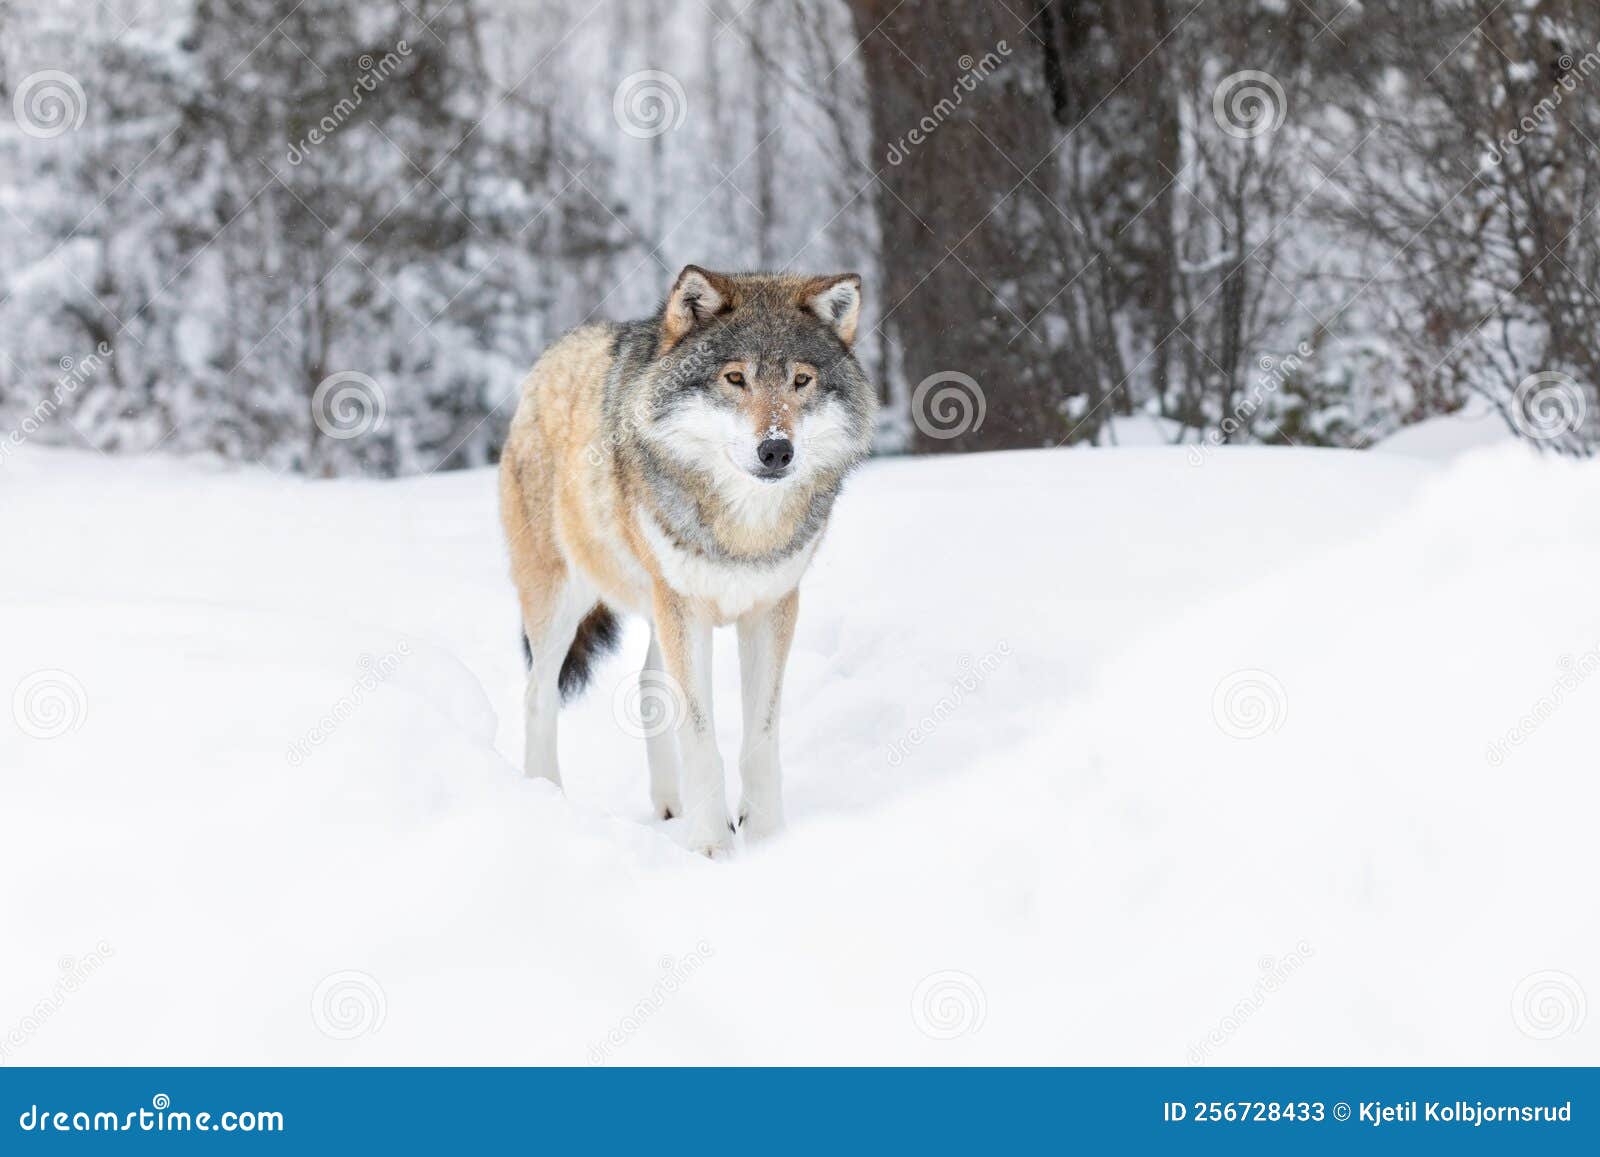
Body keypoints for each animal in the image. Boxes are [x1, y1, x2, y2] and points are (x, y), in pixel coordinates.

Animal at [498, 266, 877, 856]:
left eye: (801, 380)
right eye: (735, 378)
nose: (776, 450)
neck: (743, 531)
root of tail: (554, 353)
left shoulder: (771, 608)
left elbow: (759, 737)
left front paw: (768, 839)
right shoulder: (687, 609)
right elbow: (701, 739)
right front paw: (711, 845)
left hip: (655, 610)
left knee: (650, 688)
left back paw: (671, 808)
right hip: (563, 601)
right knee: (539, 695)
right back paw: (547, 798)